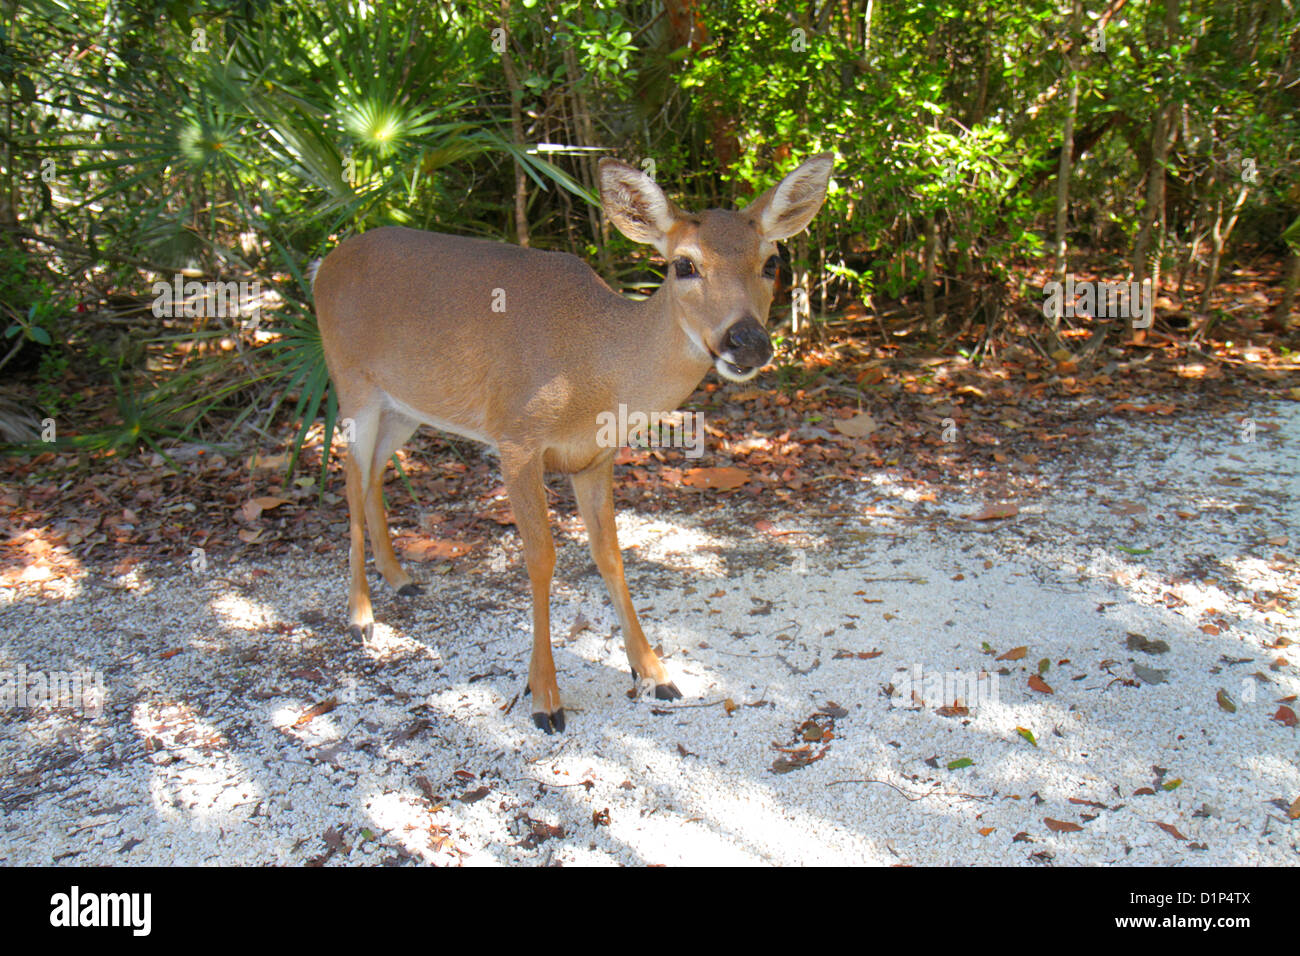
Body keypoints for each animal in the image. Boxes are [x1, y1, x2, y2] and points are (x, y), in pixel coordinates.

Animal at [312, 153, 833, 733]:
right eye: (684, 265)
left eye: (771, 262)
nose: (748, 341)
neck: (595, 368)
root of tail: (324, 263)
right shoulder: (516, 437)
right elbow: (541, 557)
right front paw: (544, 698)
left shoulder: (595, 456)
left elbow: (611, 555)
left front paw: (655, 673)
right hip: (350, 381)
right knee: (348, 477)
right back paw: (361, 617)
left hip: (404, 405)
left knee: (376, 473)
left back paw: (400, 578)